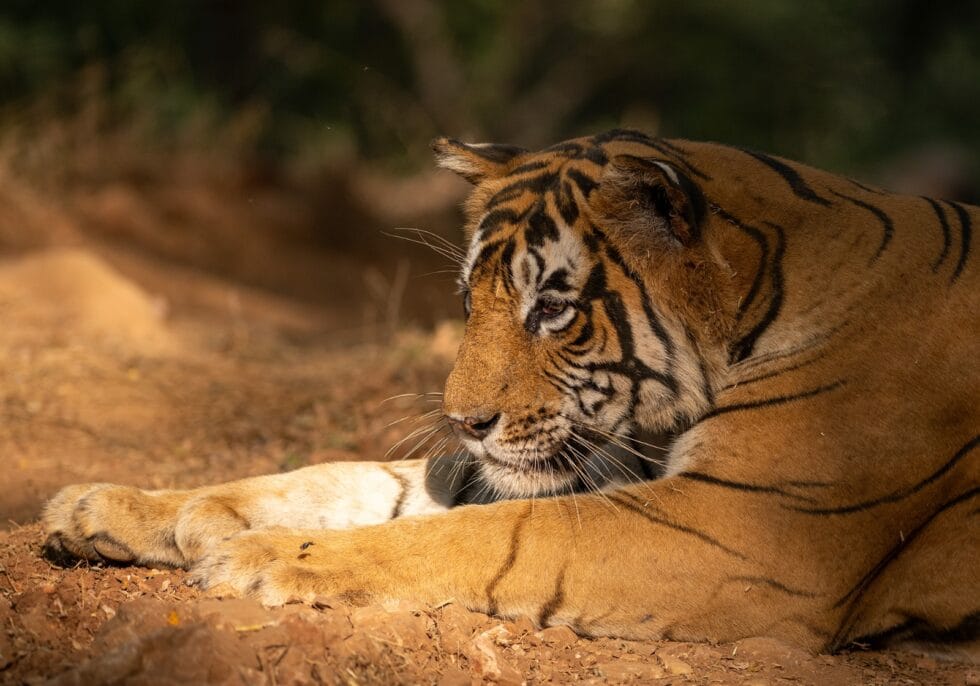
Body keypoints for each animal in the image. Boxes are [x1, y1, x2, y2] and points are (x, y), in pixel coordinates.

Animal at [43, 130, 979, 657]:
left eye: (553, 309)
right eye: (471, 301)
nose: (464, 421)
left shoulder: (744, 528)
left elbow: (498, 535)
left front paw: (263, 557)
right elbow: (350, 479)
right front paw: (131, 508)